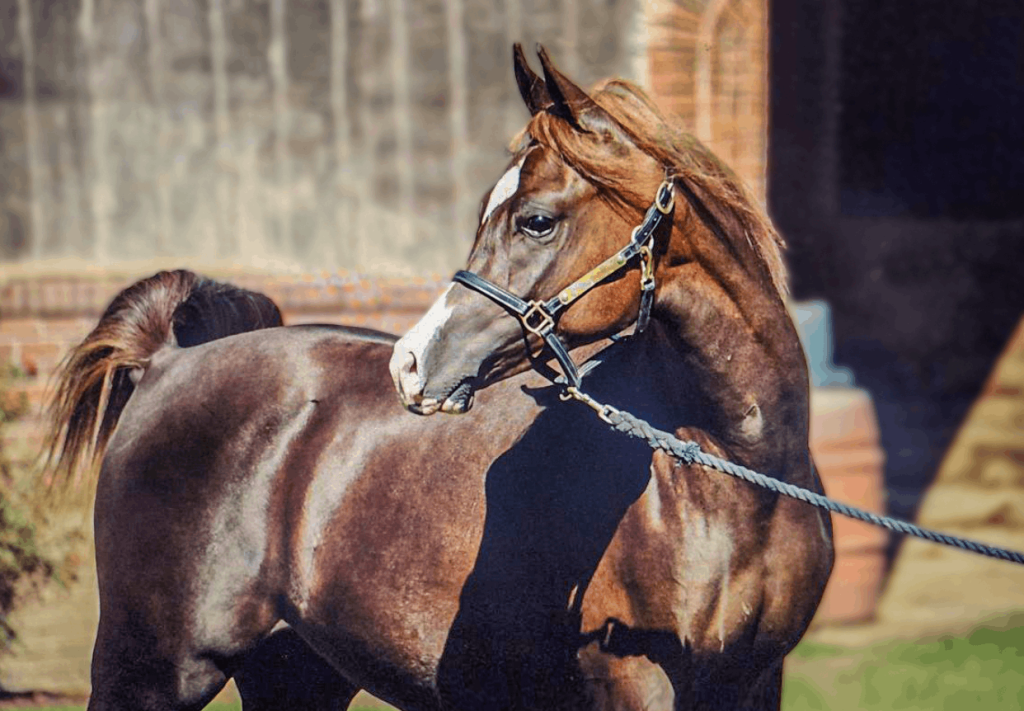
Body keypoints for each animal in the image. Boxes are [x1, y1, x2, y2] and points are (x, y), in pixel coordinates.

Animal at [45, 46, 832, 711]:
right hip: (150, 670)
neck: (730, 474)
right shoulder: (635, 681)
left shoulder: (754, 682)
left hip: (295, 671)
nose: (412, 363)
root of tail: (167, 361)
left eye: (536, 219)